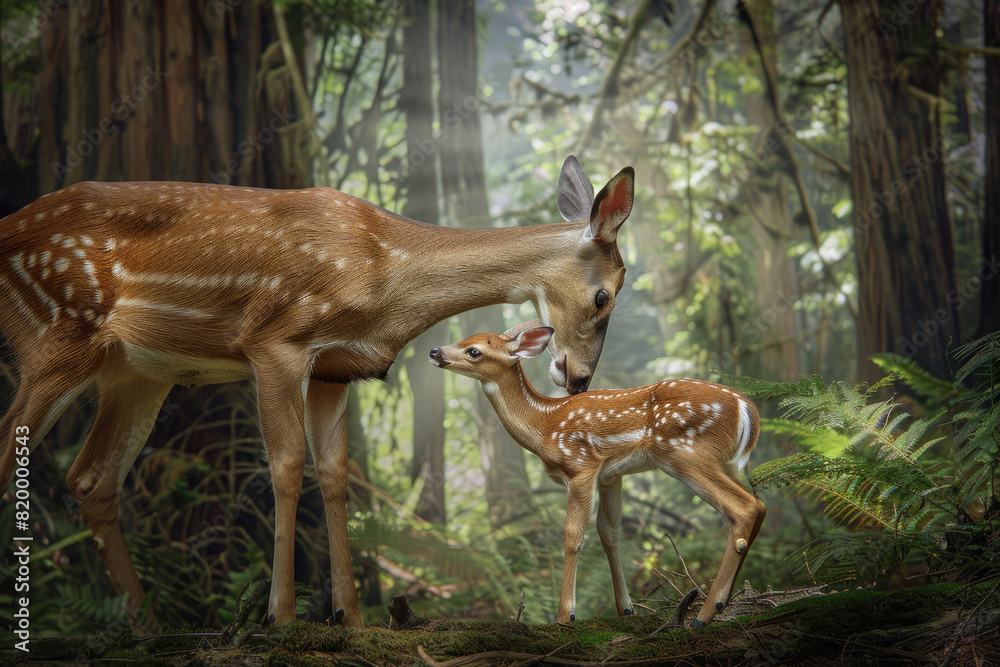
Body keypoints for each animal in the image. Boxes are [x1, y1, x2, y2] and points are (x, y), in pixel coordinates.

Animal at [0, 156, 634, 631]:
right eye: (604, 296)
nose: (579, 379)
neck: (385, 280)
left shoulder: (336, 367)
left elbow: (333, 472)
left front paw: (350, 617)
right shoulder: (275, 340)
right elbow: (286, 464)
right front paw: (280, 615)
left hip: (137, 371)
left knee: (92, 476)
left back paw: (146, 626)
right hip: (57, 331)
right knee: (13, 452)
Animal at [429, 321, 766, 627]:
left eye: (474, 350)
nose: (434, 351)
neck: (544, 424)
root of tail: (747, 408)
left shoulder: (581, 465)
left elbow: (573, 535)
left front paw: (566, 615)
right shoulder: (610, 475)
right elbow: (609, 532)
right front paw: (625, 610)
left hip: (684, 452)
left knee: (742, 509)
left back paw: (705, 615)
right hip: (723, 462)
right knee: (759, 507)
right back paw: (727, 602)